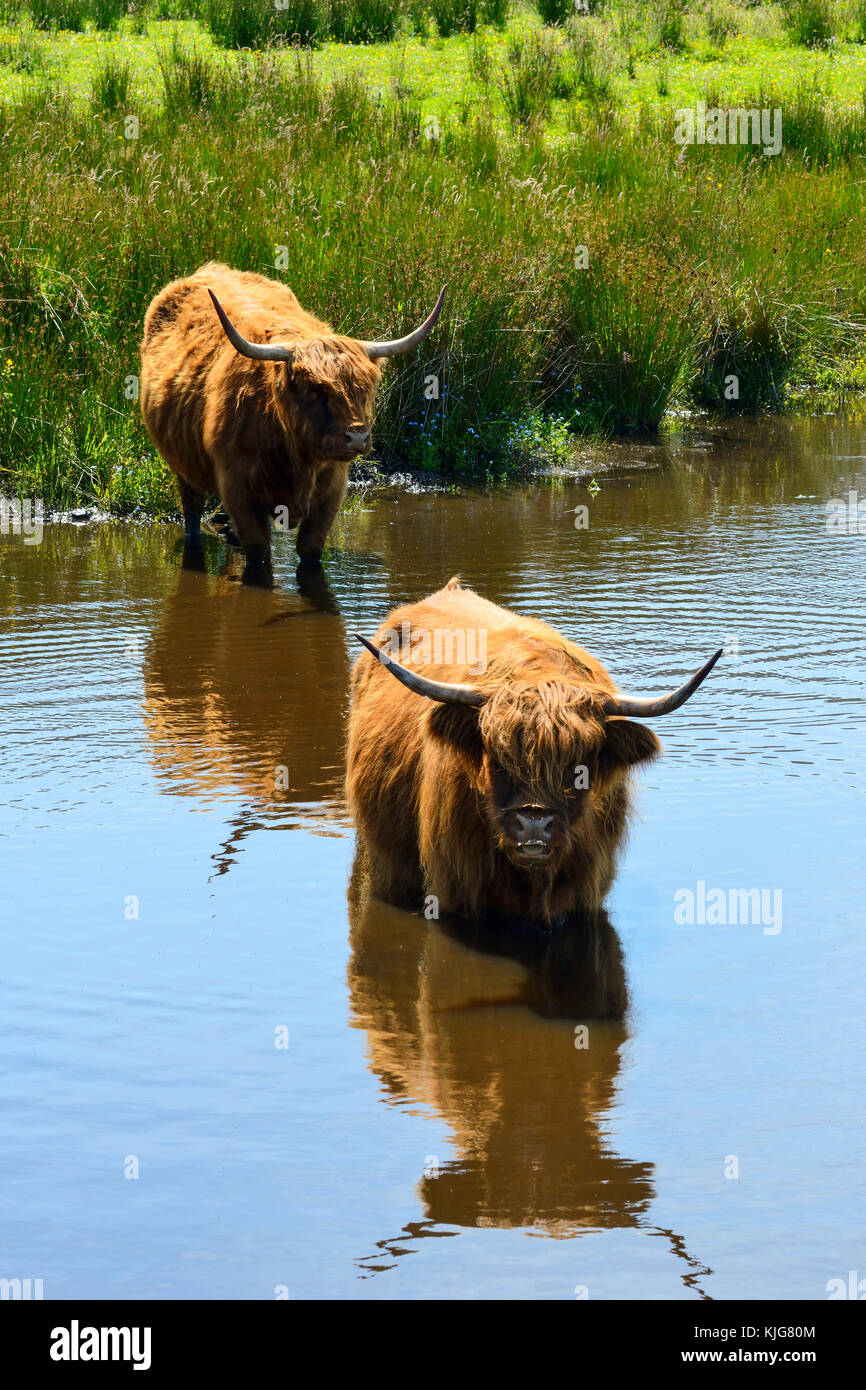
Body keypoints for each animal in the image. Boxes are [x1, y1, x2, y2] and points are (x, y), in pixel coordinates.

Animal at [140, 263, 445, 579]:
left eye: (363, 391)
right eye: (314, 391)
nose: (358, 437)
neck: (295, 454)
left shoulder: (330, 492)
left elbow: (310, 551)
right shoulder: (239, 489)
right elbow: (259, 552)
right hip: (183, 467)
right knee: (191, 512)